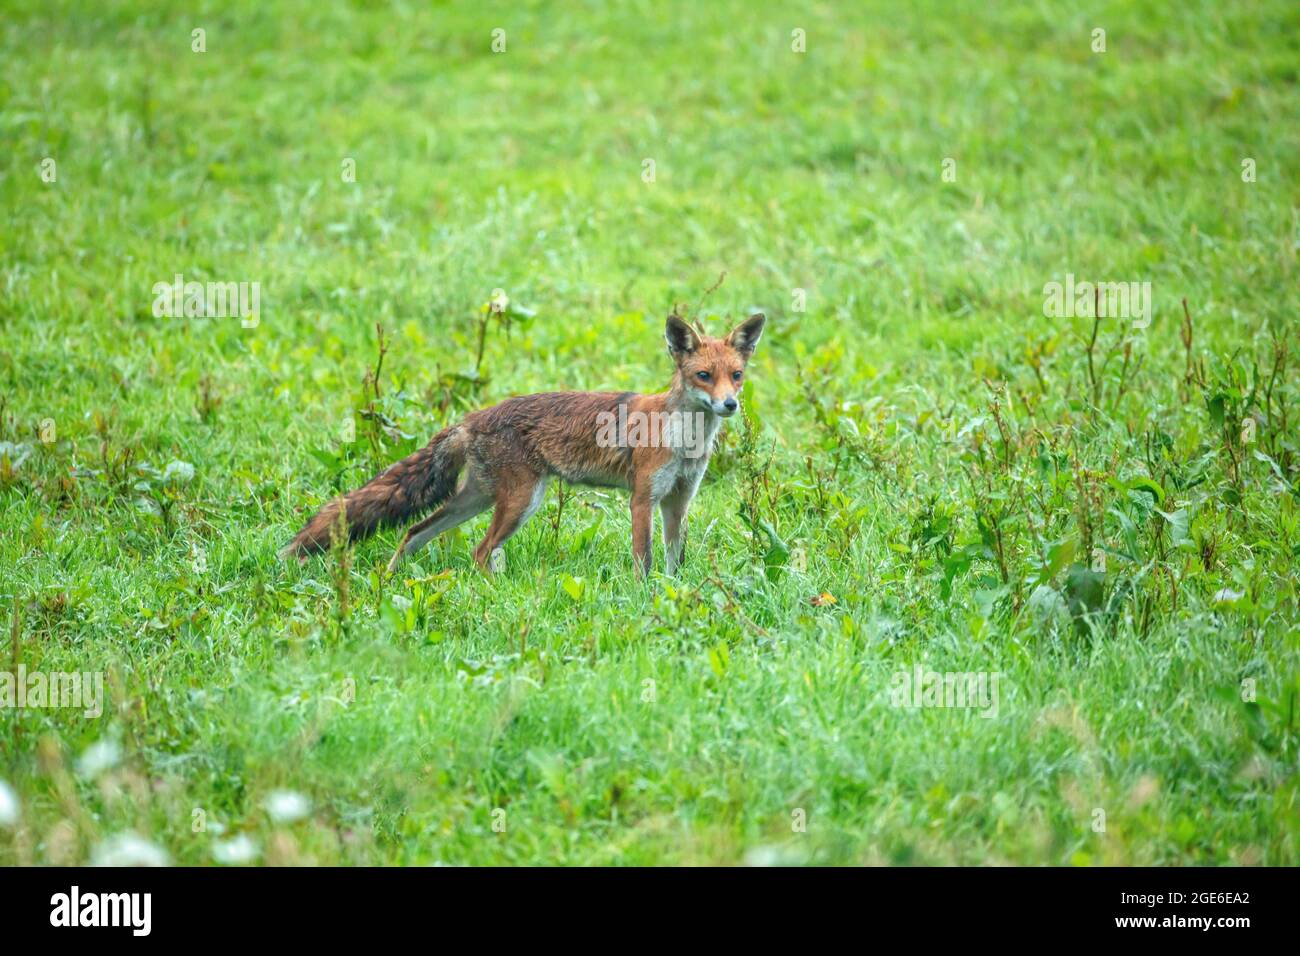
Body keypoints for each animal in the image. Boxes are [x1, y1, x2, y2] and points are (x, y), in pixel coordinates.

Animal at [282, 311, 765, 577]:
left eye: (736, 375)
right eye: (703, 375)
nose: (729, 404)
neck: (684, 438)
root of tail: (471, 418)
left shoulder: (679, 500)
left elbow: (674, 561)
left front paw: (675, 594)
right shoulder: (643, 498)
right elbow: (644, 561)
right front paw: (645, 600)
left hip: (480, 499)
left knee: (414, 531)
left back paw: (390, 580)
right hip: (520, 501)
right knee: (478, 551)